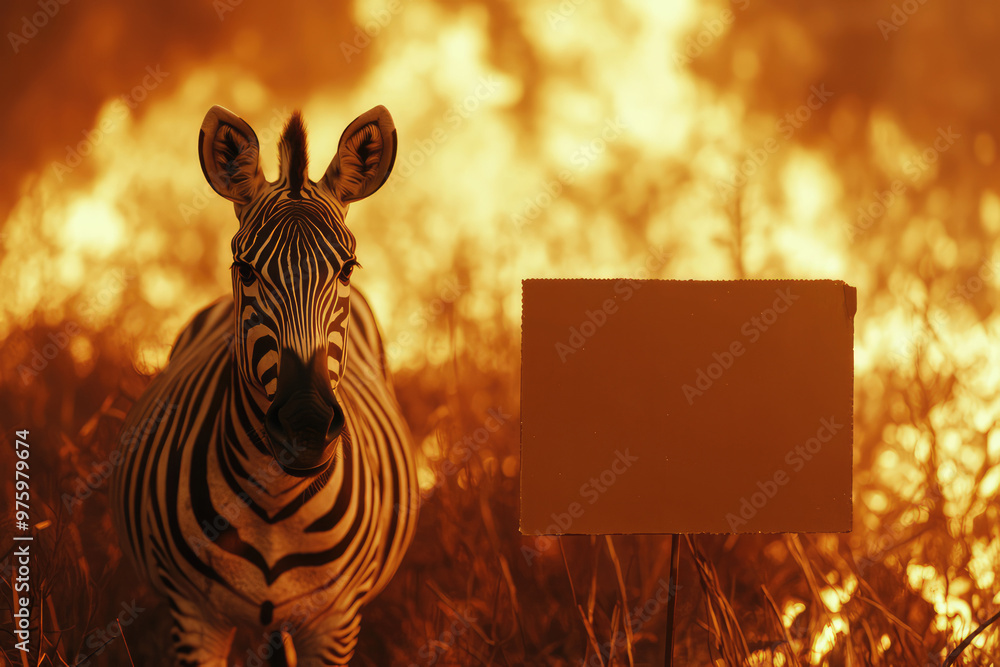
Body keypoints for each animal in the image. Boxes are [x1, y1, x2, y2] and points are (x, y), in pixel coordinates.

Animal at [110, 104, 418, 666]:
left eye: (348, 268)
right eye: (244, 268)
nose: (306, 425)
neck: (276, 502)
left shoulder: (335, 623)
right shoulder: (193, 617)